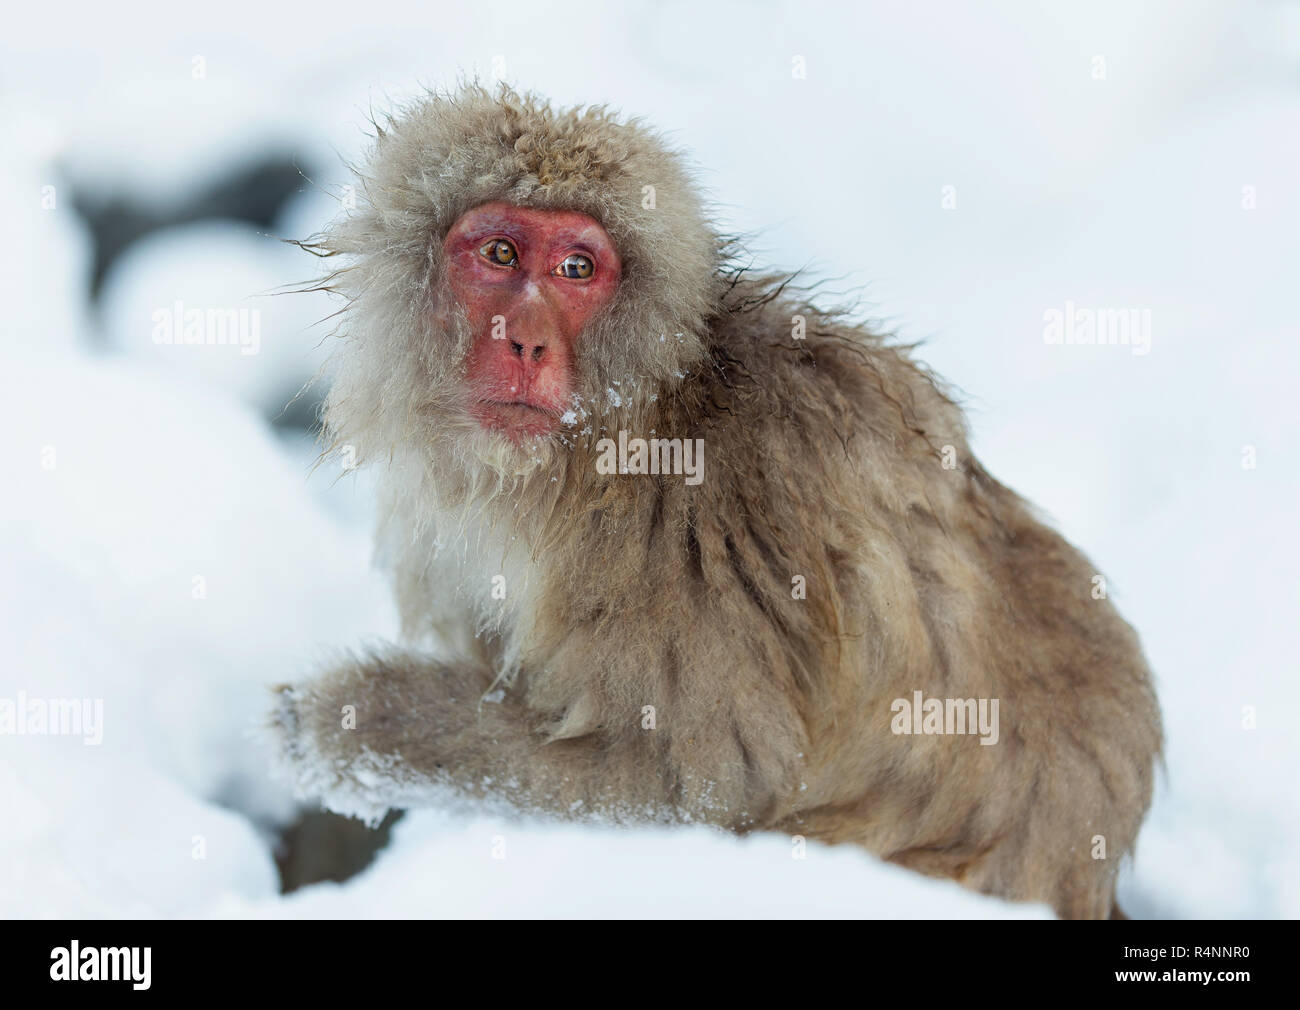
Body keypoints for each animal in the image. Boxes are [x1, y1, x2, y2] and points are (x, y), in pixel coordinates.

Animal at [271, 84, 1161, 920]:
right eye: (498, 252)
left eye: (575, 270)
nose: (525, 340)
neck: (615, 434)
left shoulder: (684, 537)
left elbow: (685, 788)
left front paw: (354, 718)